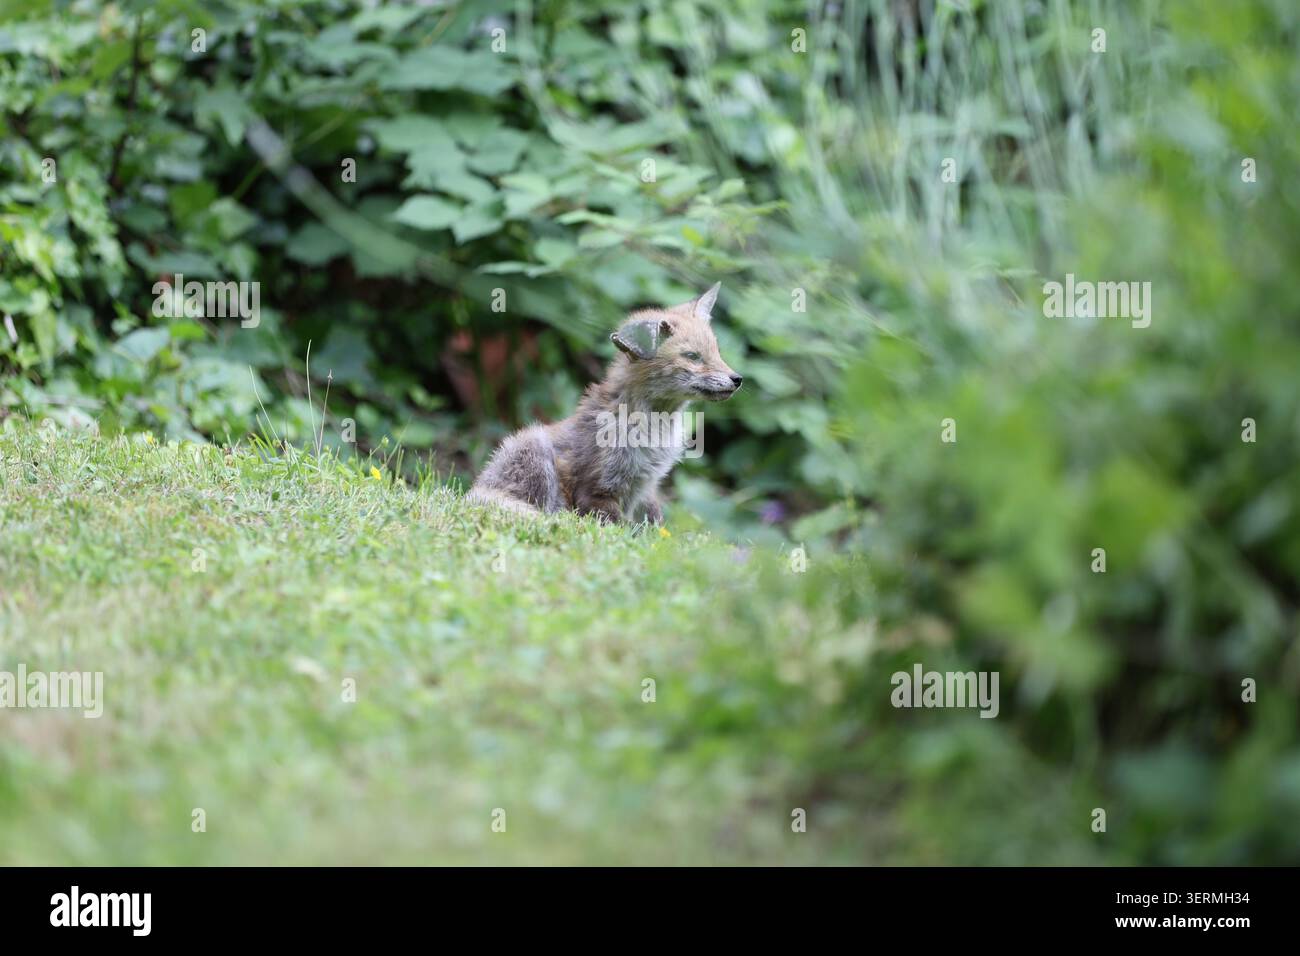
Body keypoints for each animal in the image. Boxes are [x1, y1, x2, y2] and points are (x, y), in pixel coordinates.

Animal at [468, 282, 742, 524]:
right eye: (692, 356)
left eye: (717, 353)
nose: (737, 379)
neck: (653, 434)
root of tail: (475, 487)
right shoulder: (598, 489)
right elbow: (618, 529)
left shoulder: (646, 488)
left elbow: (654, 525)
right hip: (534, 448)